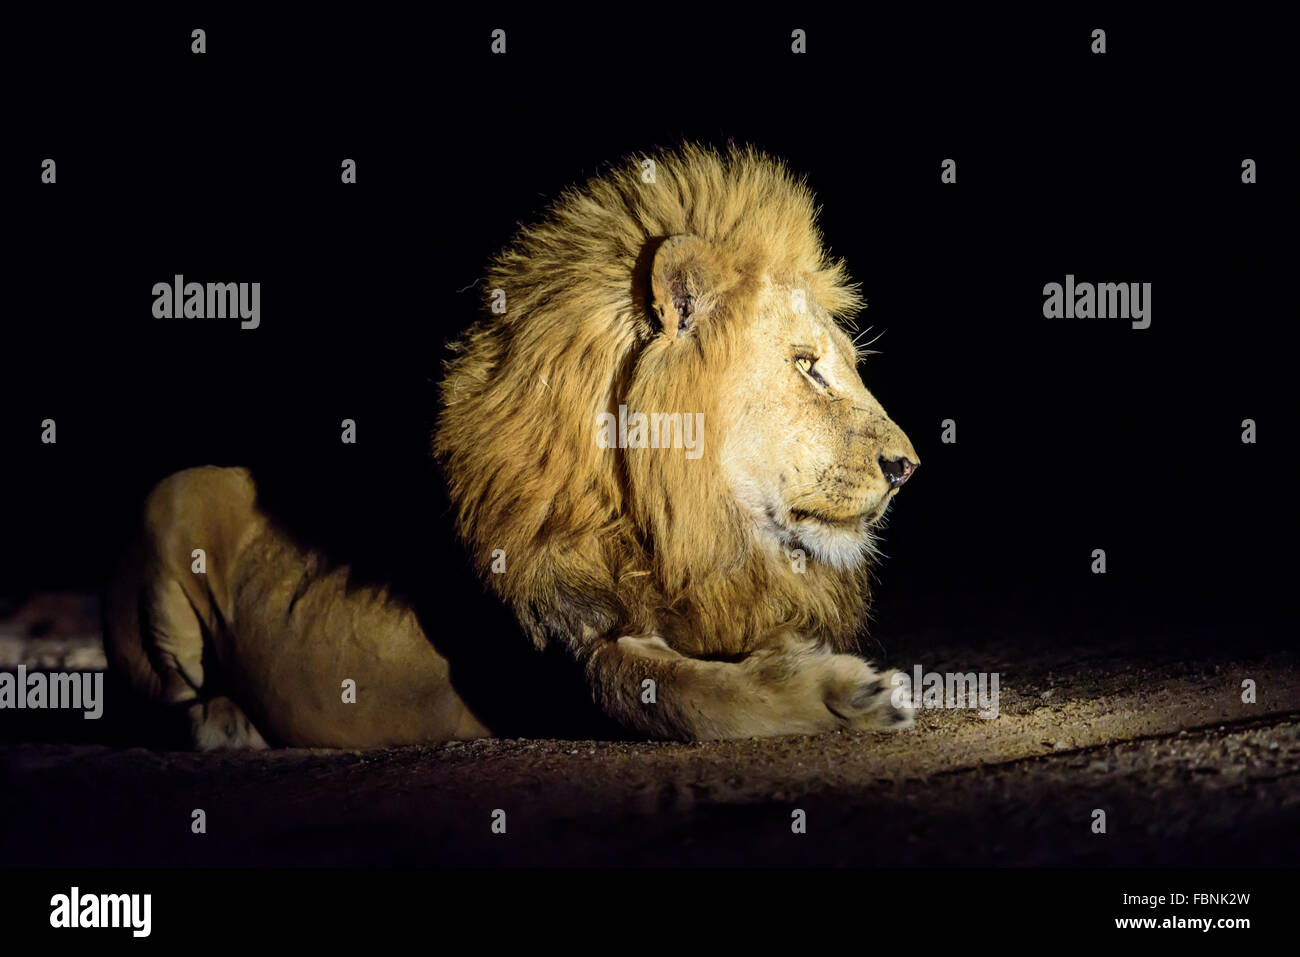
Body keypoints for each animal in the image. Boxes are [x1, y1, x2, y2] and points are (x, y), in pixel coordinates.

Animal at [103, 144, 920, 748]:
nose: (907, 466)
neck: (674, 521)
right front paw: (855, 691)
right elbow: (696, 699)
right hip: (172, 504)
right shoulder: (563, 656)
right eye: (805, 364)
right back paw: (226, 723)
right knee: (161, 702)